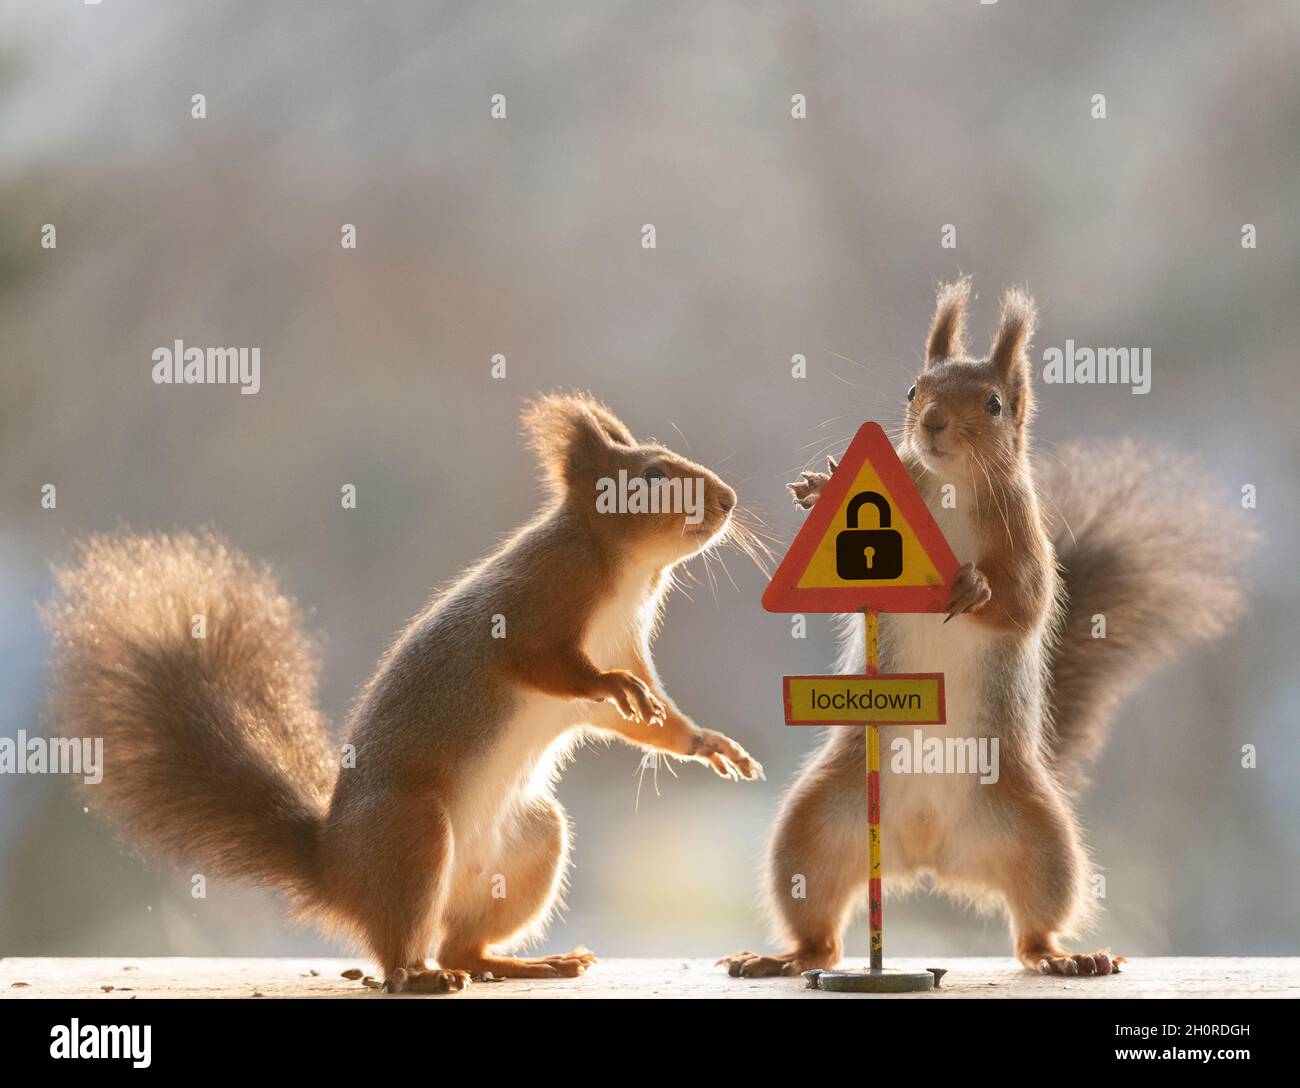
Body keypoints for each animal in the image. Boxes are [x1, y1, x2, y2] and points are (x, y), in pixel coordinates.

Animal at [45, 392, 763, 994]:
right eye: (653, 477)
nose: (729, 500)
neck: (627, 573)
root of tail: (337, 872)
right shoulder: (534, 605)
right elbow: (543, 663)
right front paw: (618, 688)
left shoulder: (624, 643)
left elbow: (648, 720)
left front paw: (708, 743)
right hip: (412, 834)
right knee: (403, 950)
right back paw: (420, 975)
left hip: (531, 843)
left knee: (463, 945)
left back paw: (526, 963)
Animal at [721, 278, 1254, 978]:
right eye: (913, 391)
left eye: (996, 405)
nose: (932, 424)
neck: (950, 485)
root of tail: (926, 854)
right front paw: (820, 492)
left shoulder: (1025, 537)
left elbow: (1024, 601)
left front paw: (974, 588)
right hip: (817, 829)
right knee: (820, 928)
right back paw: (784, 957)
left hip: (1041, 839)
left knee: (1034, 924)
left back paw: (1064, 958)